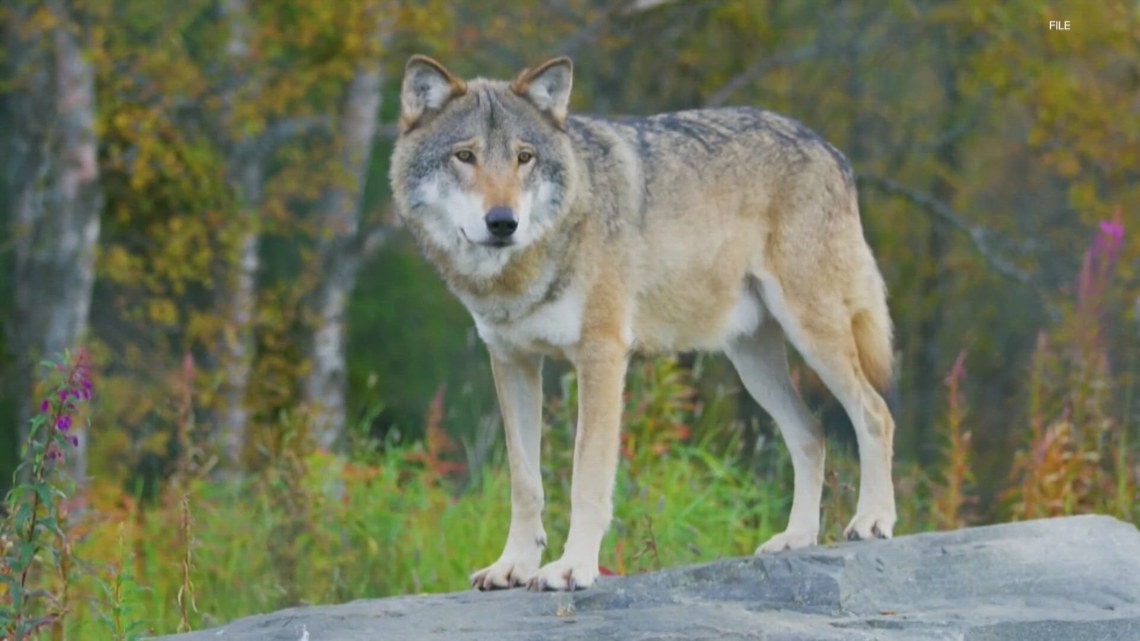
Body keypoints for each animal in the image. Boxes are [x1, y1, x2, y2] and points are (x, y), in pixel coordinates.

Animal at [389, 55, 897, 592]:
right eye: (465, 156)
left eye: (524, 157)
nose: (503, 222)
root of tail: (830, 150)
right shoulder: (511, 362)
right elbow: (525, 484)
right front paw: (514, 566)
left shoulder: (602, 356)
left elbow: (587, 477)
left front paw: (572, 567)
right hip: (753, 363)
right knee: (812, 433)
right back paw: (796, 538)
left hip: (813, 335)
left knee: (875, 413)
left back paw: (873, 520)